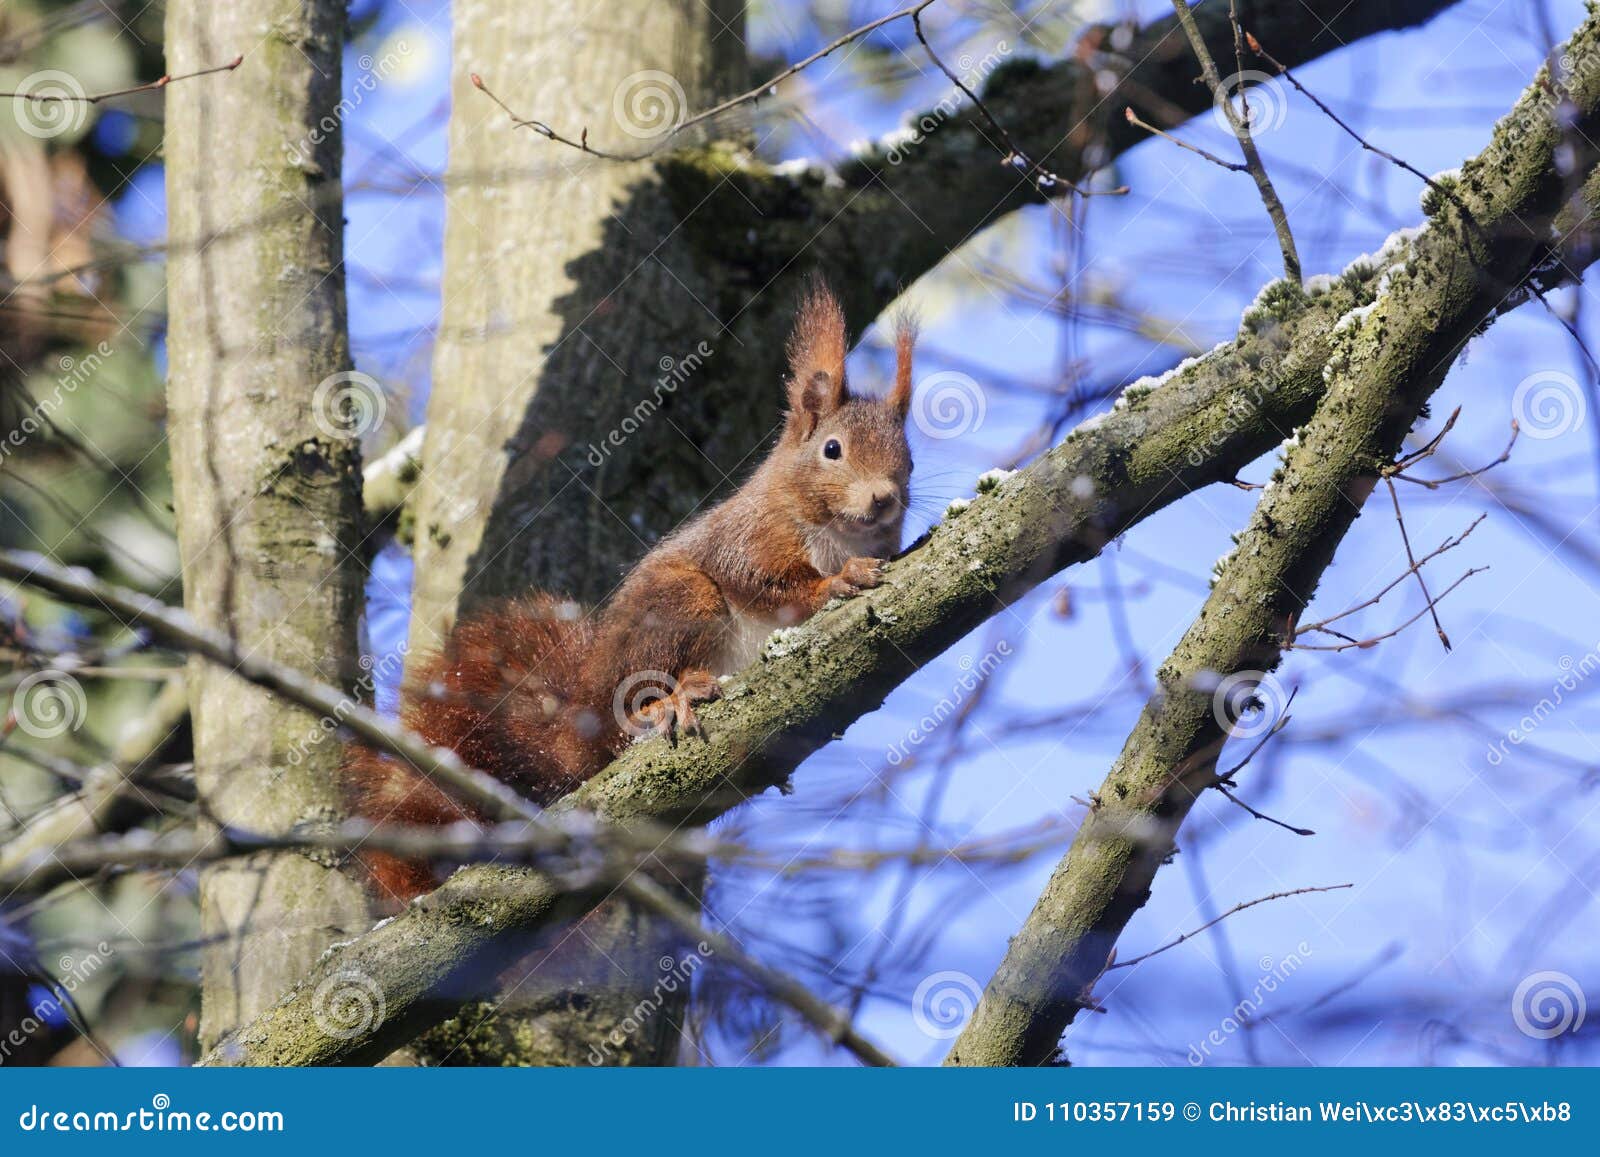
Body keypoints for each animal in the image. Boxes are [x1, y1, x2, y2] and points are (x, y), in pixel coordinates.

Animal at [345, 281, 916, 904]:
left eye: (909, 459)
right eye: (832, 450)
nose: (884, 498)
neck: (832, 530)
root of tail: (576, 724)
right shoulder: (747, 537)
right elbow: (765, 582)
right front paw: (839, 580)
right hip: (681, 602)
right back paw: (671, 699)